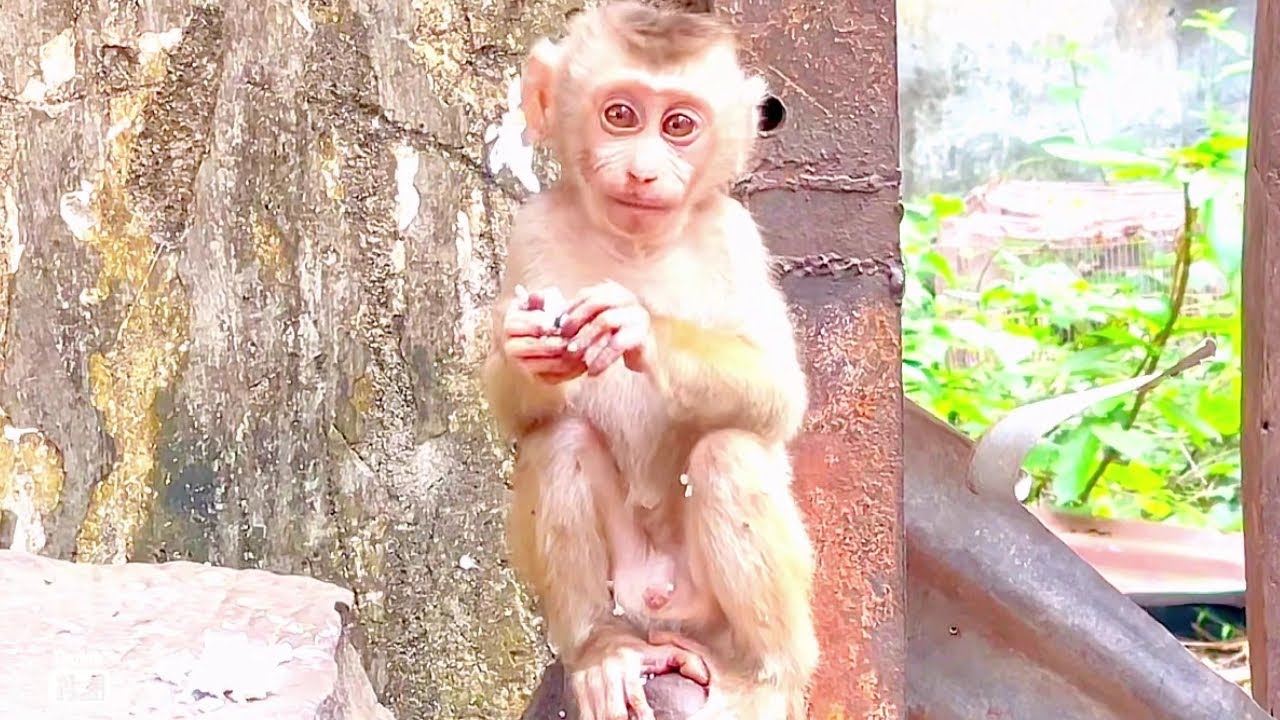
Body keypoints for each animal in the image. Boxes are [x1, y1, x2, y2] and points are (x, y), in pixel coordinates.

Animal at [481, 3, 816, 719]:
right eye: (620, 115)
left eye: (679, 125)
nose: (640, 171)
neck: (634, 246)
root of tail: (665, 612)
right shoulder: (532, 227)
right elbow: (523, 419)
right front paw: (527, 352)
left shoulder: (734, 236)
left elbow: (779, 394)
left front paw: (636, 326)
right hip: (630, 597)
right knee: (560, 442)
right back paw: (600, 654)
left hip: (711, 619)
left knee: (729, 455)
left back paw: (769, 679)